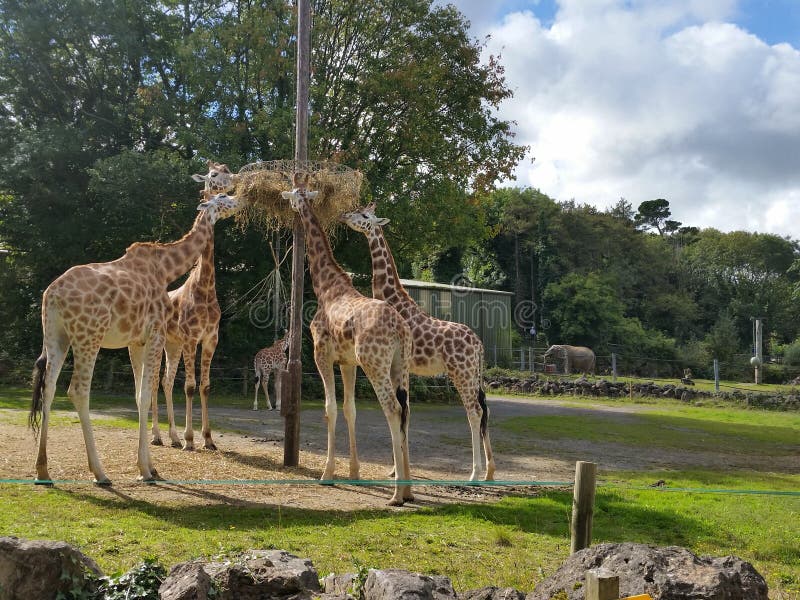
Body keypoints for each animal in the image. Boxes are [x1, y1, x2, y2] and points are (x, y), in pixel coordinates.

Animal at [29, 193, 241, 484]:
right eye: (222, 198)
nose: (240, 200)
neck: (166, 268)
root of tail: (52, 295)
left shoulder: (136, 341)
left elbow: (141, 394)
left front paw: (152, 466)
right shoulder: (155, 334)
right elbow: (146, 393)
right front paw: (145, 469)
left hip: (56, 336)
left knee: (48, 388)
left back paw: (43, 469)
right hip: (89, 336)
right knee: (78, 390)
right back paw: (100, 473)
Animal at [151, 163, 235, 450]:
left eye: (227, 169)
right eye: (214, 175)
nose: (235, 181)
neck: (204, 288)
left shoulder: (210, 338)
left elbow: (205, 386)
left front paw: (208, 439)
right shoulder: (190, 338)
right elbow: (189, 386)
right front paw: (190, 439)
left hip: (172, 344)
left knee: (165, 381)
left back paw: (172, 437)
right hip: (161, 341)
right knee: (153, 382)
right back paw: (159, 436)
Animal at [281, 173, 414, 506]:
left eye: (294, 194)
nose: (342, 215)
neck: (326, 286)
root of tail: (401, 329)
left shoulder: (322, 354)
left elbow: (329, 408)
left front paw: (327, 474)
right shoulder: (348, 362)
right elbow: (350, 409)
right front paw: (354, 472)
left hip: (375, 364)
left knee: (393, 409)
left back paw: (396, 495)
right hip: (400, 366)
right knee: (405, 411)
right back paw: (409, 490)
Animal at [339, 203, 495, 481]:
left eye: (365, 215)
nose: (345, 215)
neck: (393, 298)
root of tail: (479, 346)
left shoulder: (398, 366)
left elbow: (401, 410)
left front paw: (396, 468)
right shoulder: (404, 369)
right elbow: (407, 410)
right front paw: (396, 468)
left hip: (461, 373)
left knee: (474, 412)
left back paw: (474, 475)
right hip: (475, 375)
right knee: (485, 410)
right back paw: (489, 473)